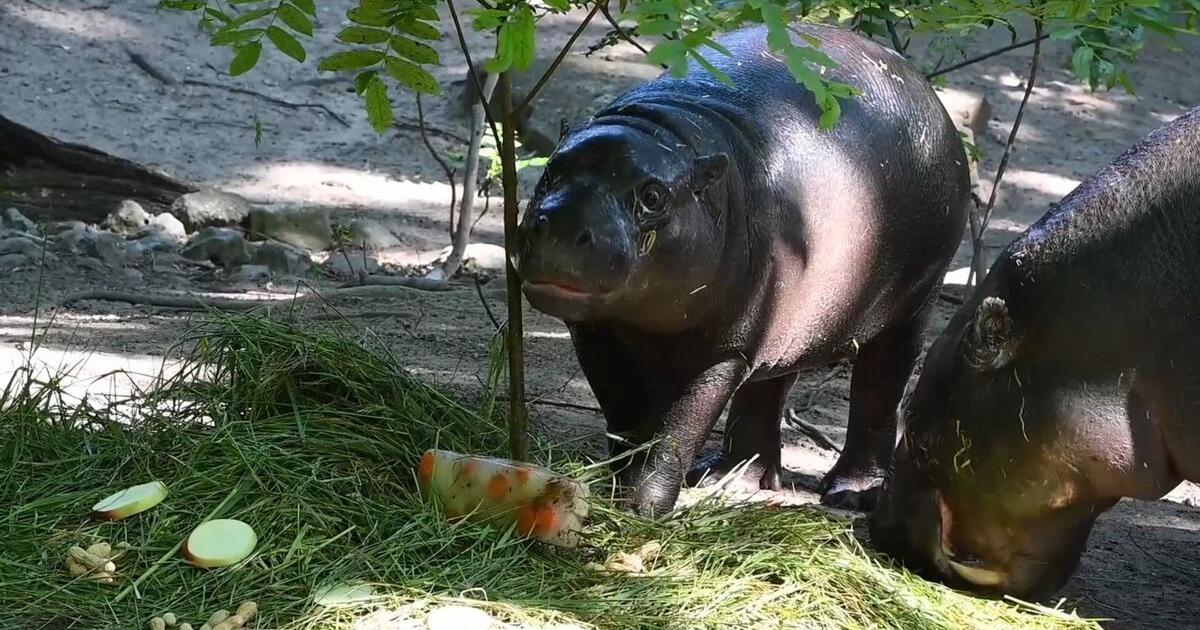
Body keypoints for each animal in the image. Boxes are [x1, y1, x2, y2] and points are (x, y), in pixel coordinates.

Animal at [515, 23, 971, 516]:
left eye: (653, 196)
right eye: (551, 171)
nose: (562, 225)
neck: (665, 131)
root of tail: (922, 85)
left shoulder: (723, 352)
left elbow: (675, 432)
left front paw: (641, 506)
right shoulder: (596, 331)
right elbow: (623, 413)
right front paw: (616, 489)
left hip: (913, 303)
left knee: (881, 388)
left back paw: (850, 493)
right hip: (788, 318)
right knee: (769, 387)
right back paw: (731, 479)